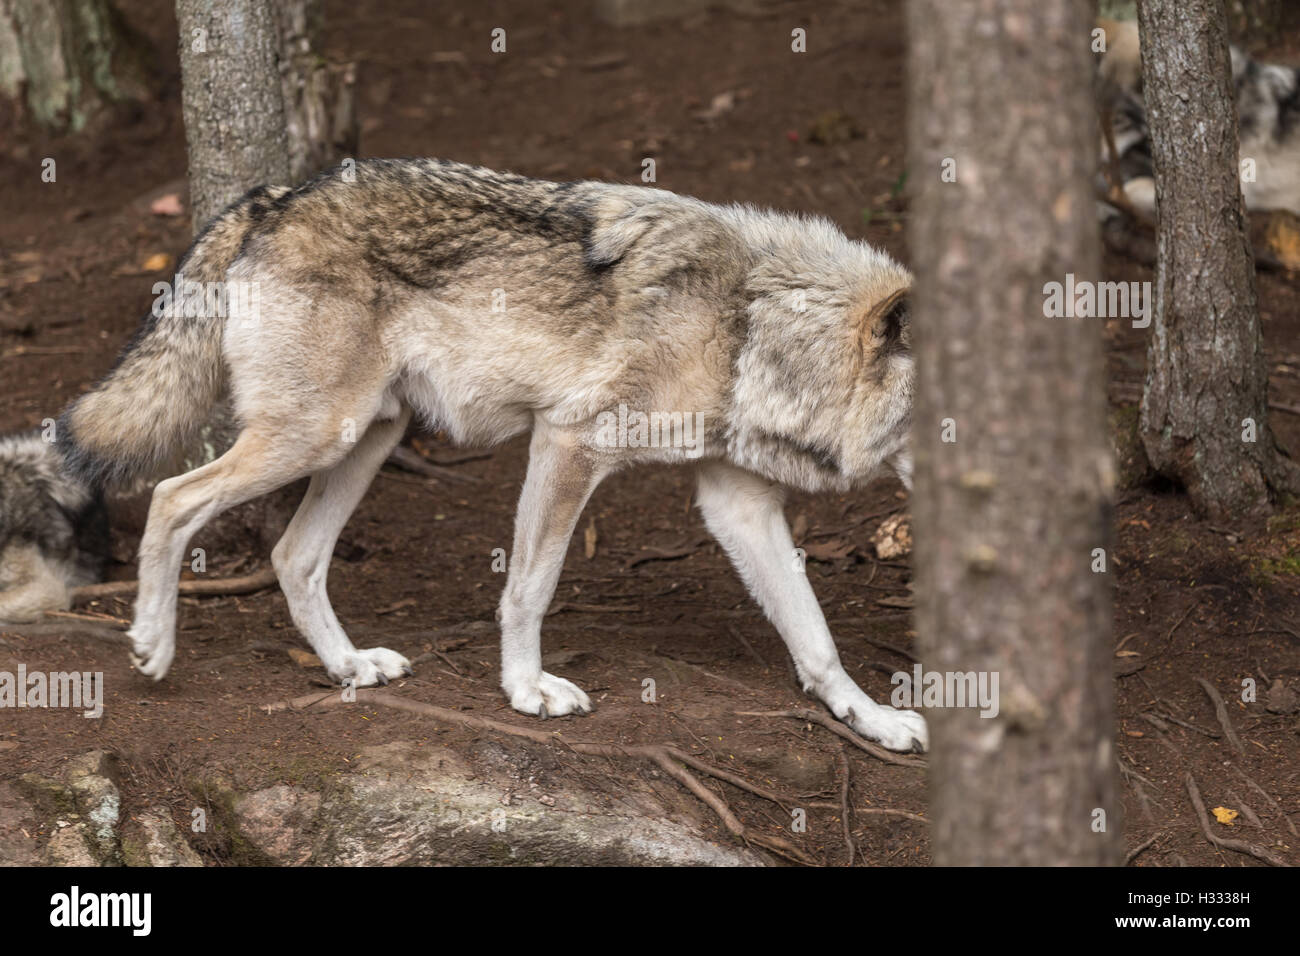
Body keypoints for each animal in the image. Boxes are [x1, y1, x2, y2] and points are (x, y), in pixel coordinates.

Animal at [55, 158, 927, 752]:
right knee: (172, 497)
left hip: (369, 438)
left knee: (292, 556)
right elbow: (529, 589)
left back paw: (347, 667)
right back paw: (154, 646)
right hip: (317, 434)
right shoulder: (568, 443)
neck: (751, 320)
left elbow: (815, 638)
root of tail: (276, 196)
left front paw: (874, 720)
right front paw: (527, 690)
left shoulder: (735, 501)